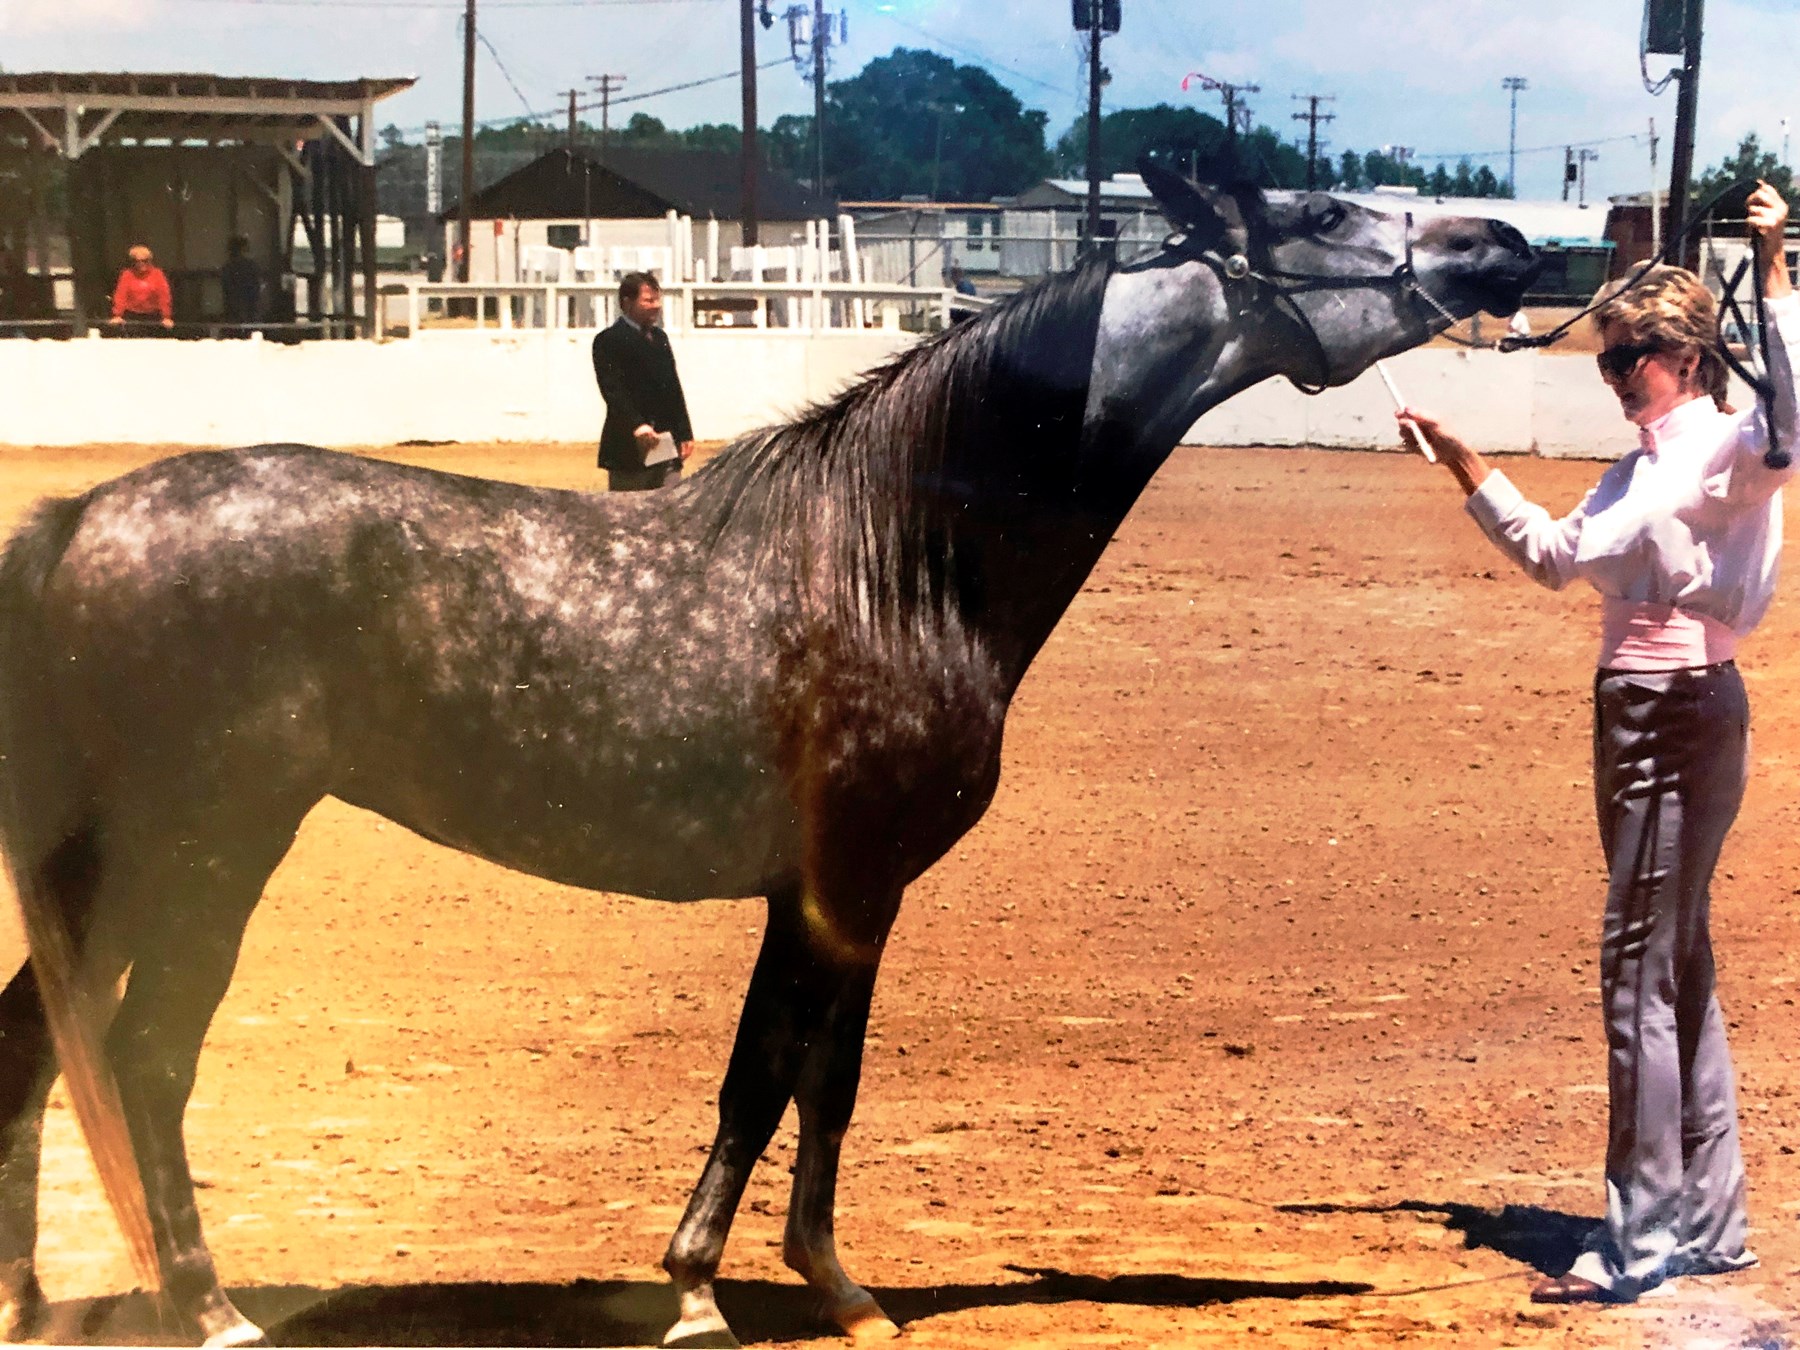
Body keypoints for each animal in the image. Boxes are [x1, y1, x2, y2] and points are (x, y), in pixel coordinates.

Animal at [0, 164, 1537, 1348]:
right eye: (1325, 208)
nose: (1508, 247)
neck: (894, 555)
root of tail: (83, 520)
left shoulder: (843, 891)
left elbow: (815, 1077)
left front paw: (836, 1288)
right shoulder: (845, 884)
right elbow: (771, 1073)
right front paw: (695, 1294)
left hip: (105, 865)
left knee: (35, 1049)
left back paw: (34, 1295)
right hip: (206, 849)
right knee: (144, 1057)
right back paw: (208, 1307)